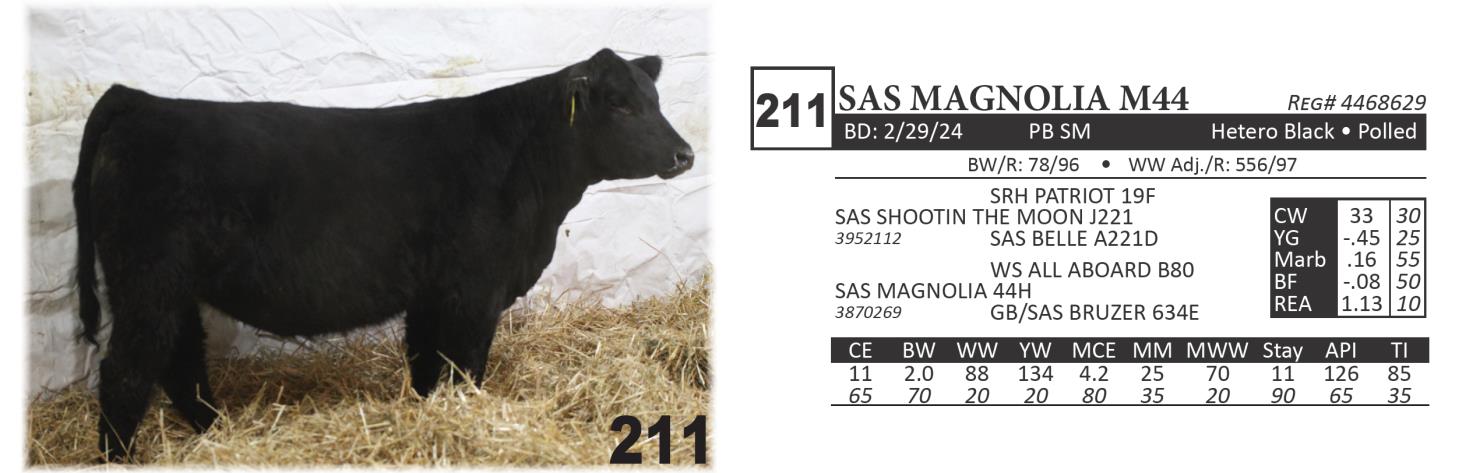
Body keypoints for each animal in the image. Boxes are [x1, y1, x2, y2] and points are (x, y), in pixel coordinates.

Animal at [70, 48, 695, 461]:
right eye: (619, 105)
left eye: (656, 99)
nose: (685, 154)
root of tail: (141, 102)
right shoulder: (474, 291)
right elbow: (464, 366)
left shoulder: (433, 292)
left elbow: (426, 364)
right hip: (147, 281)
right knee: (126, 372)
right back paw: (121, 456)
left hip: (170, 286)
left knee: (179, 361)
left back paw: (216, 430)